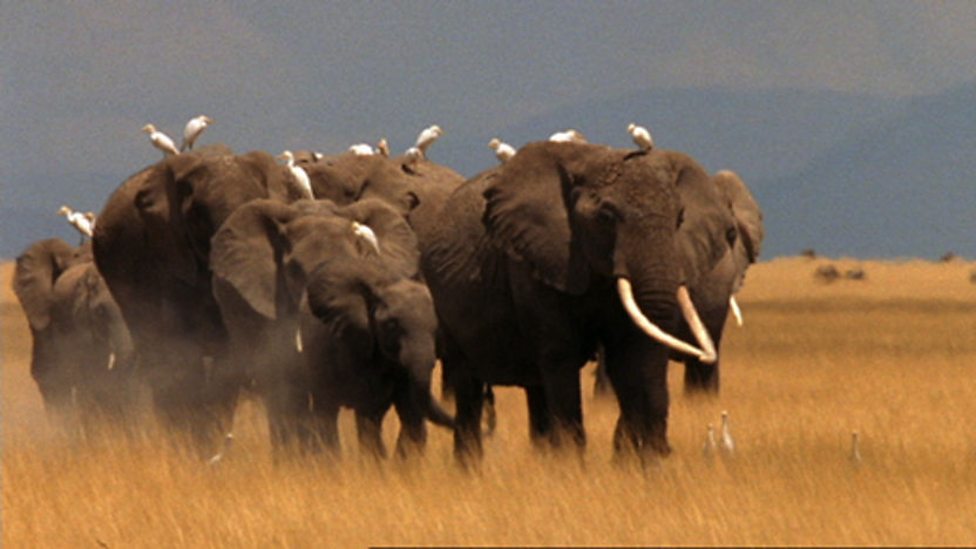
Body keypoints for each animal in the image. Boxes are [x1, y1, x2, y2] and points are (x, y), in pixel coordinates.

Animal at [92, 144, 305, 453]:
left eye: (254, 204)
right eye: (199, 216)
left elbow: (224, 363)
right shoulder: (167, 255)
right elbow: (182, 354)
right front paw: (194, 448)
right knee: (158, 358)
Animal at [422, 141, 735, 465]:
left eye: (680, 218)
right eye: (606, 217)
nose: (666, 450)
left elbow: (633, 352)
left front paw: (642, 466)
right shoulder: (534, 263)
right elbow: (562, 355)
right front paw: (572, 466)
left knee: (536, 388)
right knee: (468, 385)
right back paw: (471, 468)